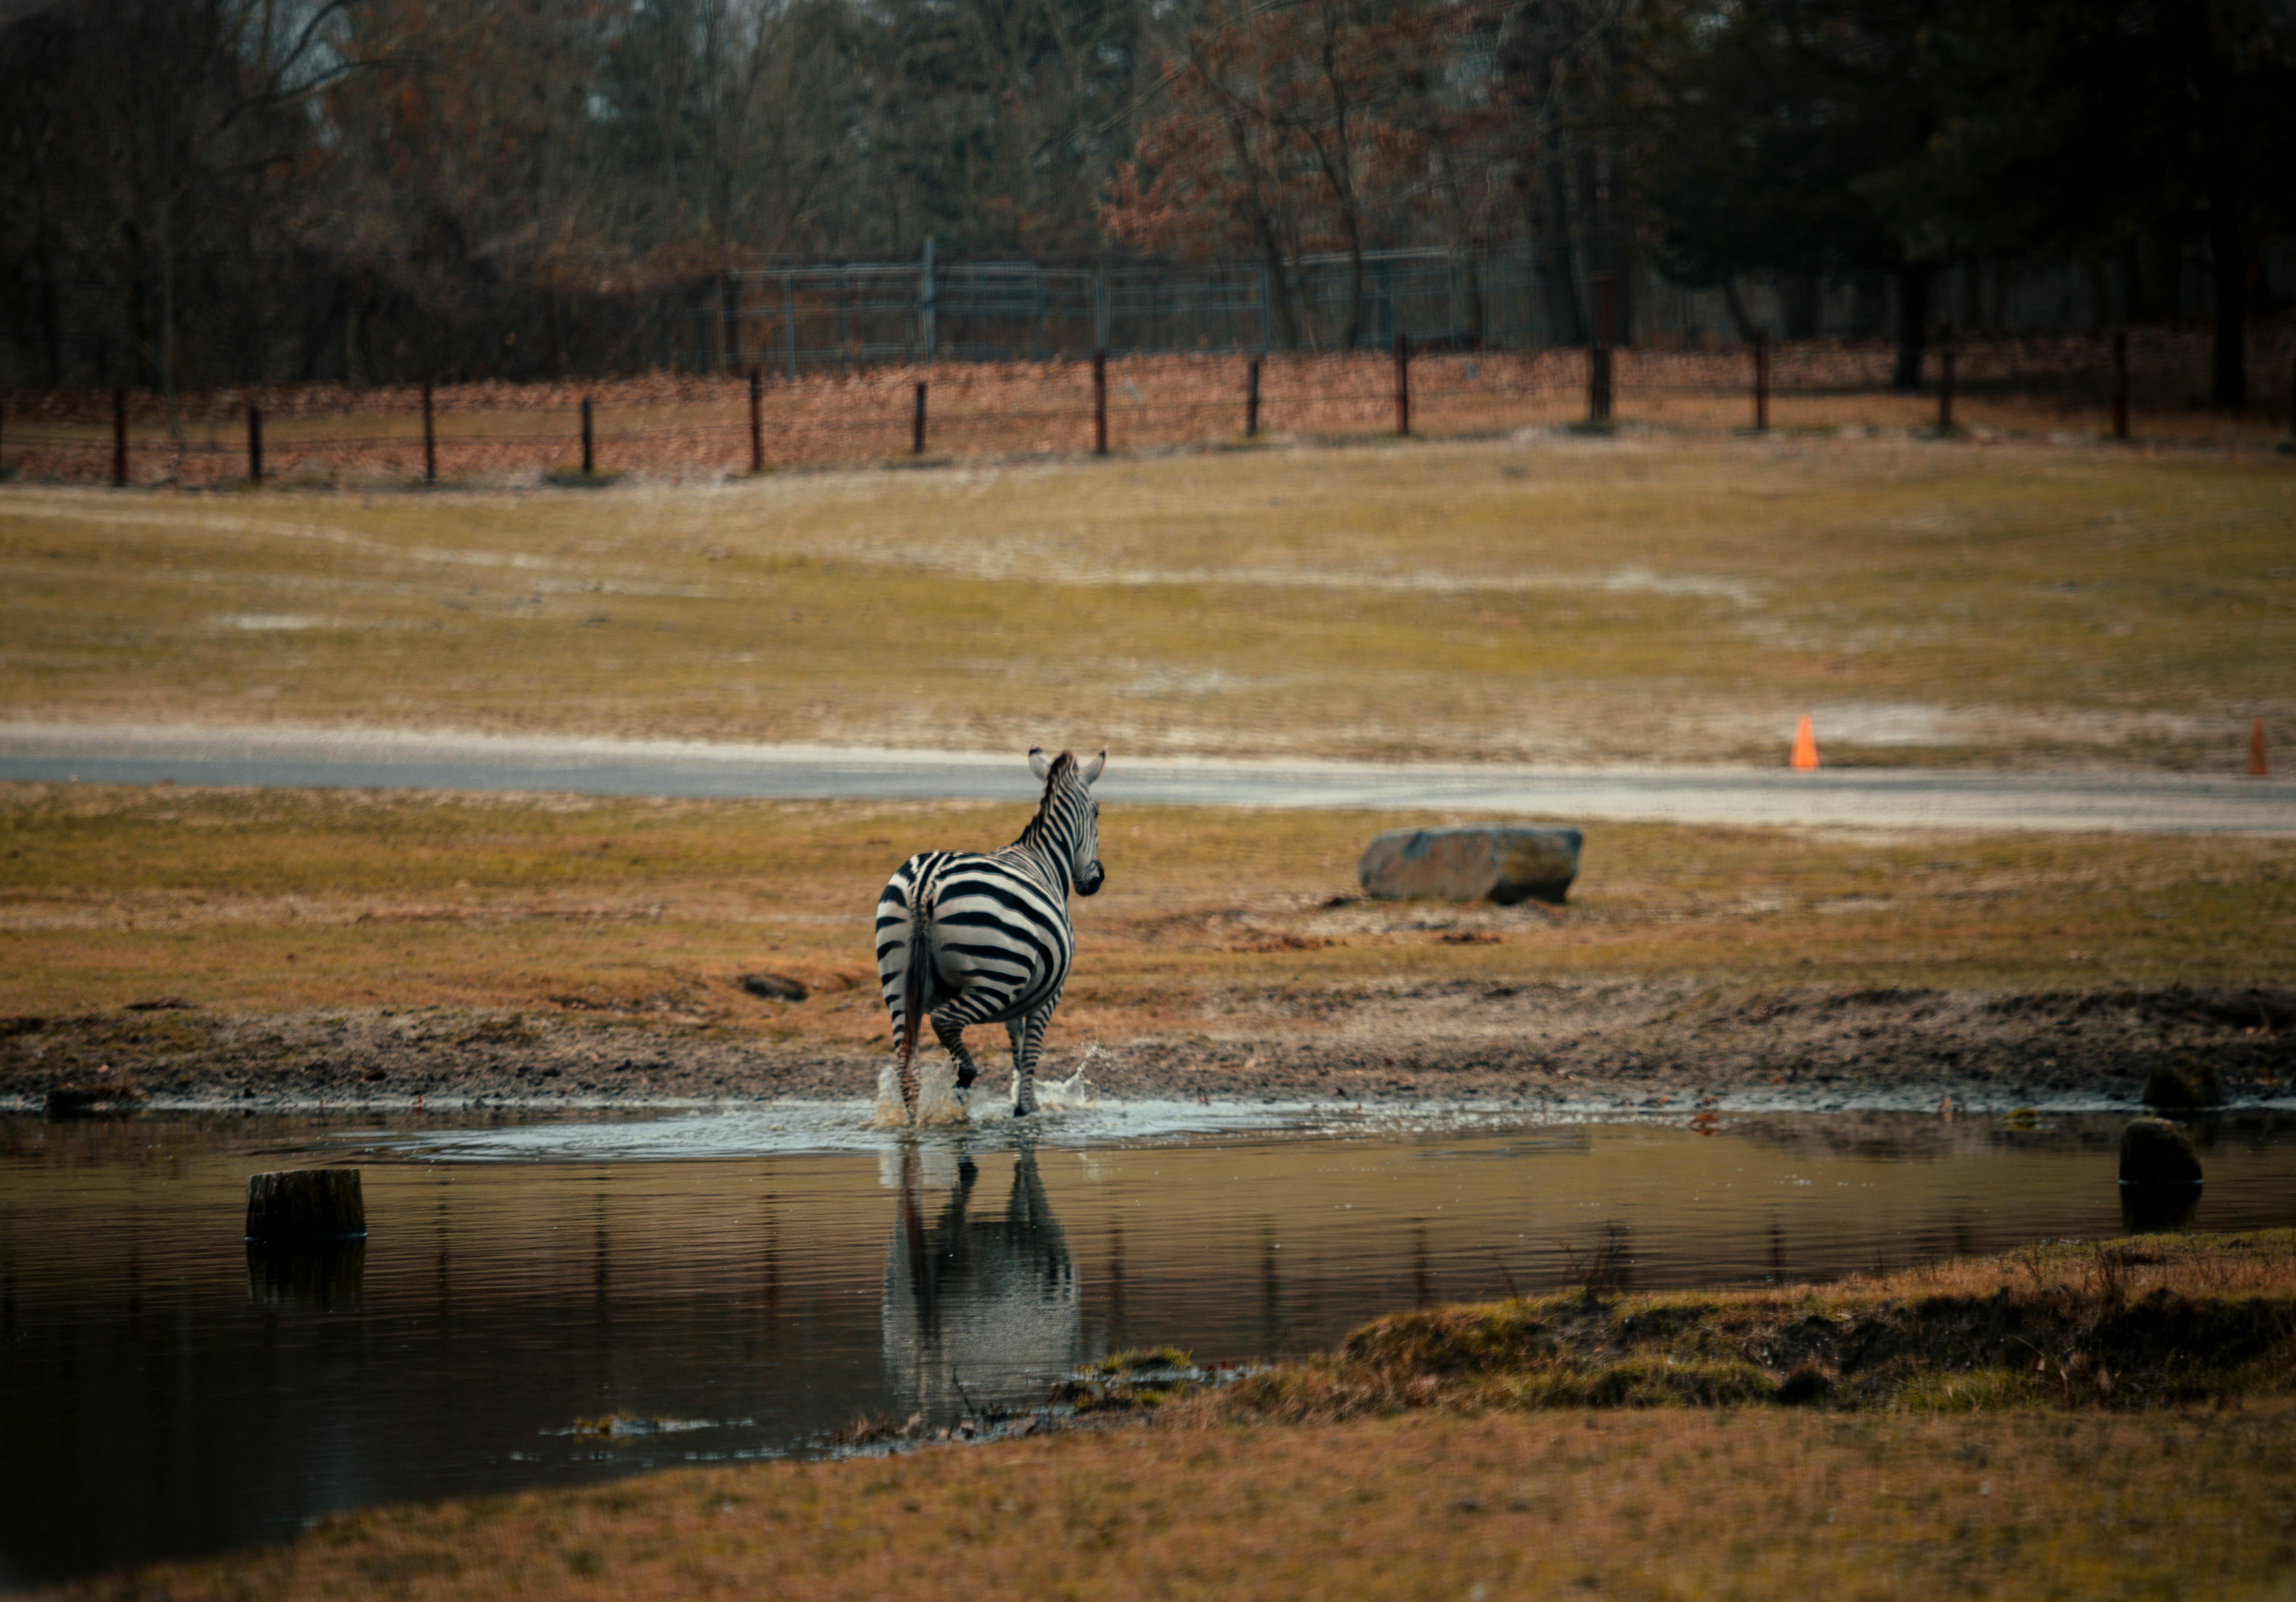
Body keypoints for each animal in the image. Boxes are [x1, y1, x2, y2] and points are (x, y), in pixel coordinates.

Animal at [875, 747, 1106, 1120]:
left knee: (906, 1066)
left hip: (897, 981)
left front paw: (1027, 1103)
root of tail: (927, 880)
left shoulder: (1019, 1001)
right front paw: (1027, 1109)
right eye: (1097, 812)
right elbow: (1030, 1052)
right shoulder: (1048, 995)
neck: (1043, 858)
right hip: (997, 977)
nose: (1096, 881)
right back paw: (964, 1079)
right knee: (945, 1021)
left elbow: (1018, 1049)